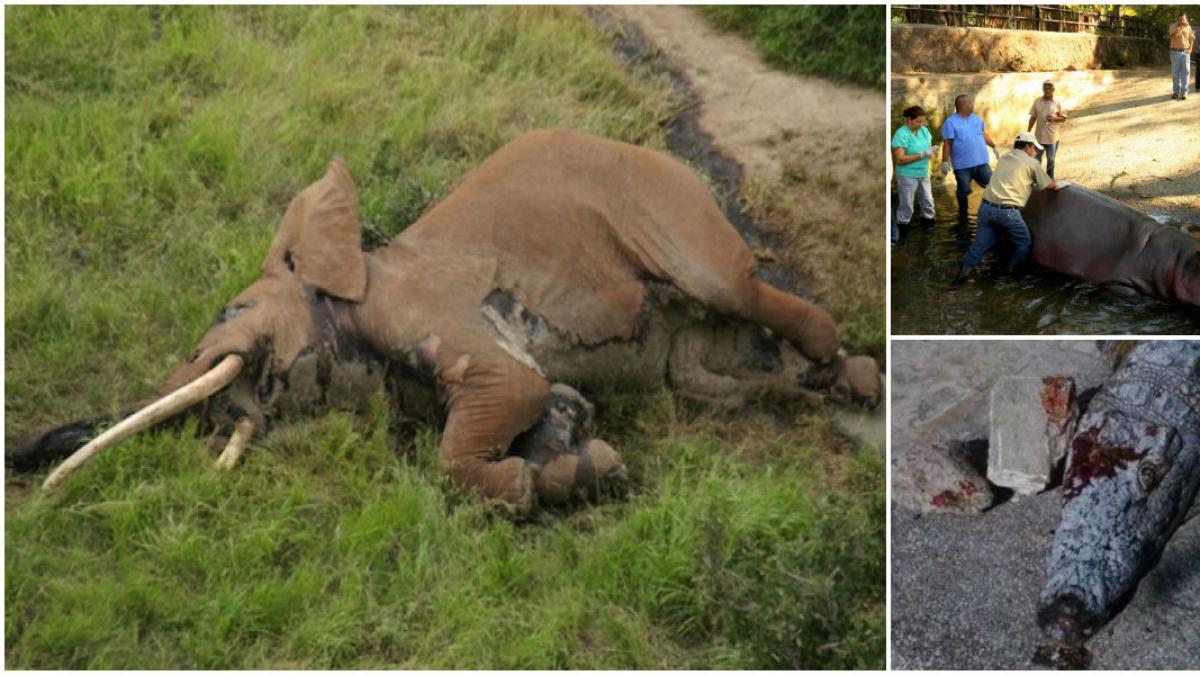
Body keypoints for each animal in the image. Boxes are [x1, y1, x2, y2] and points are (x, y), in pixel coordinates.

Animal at [10, 128, 881, 514]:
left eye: (230, 313)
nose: (29, 463)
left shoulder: (427, 311)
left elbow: (503, 398)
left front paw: (533, 486)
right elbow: (555, 402)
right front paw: (584, 468)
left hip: (668, 206)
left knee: (734, 286)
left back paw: (855, 380)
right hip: (689, 354)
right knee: (705, 373)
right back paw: (812, 384)